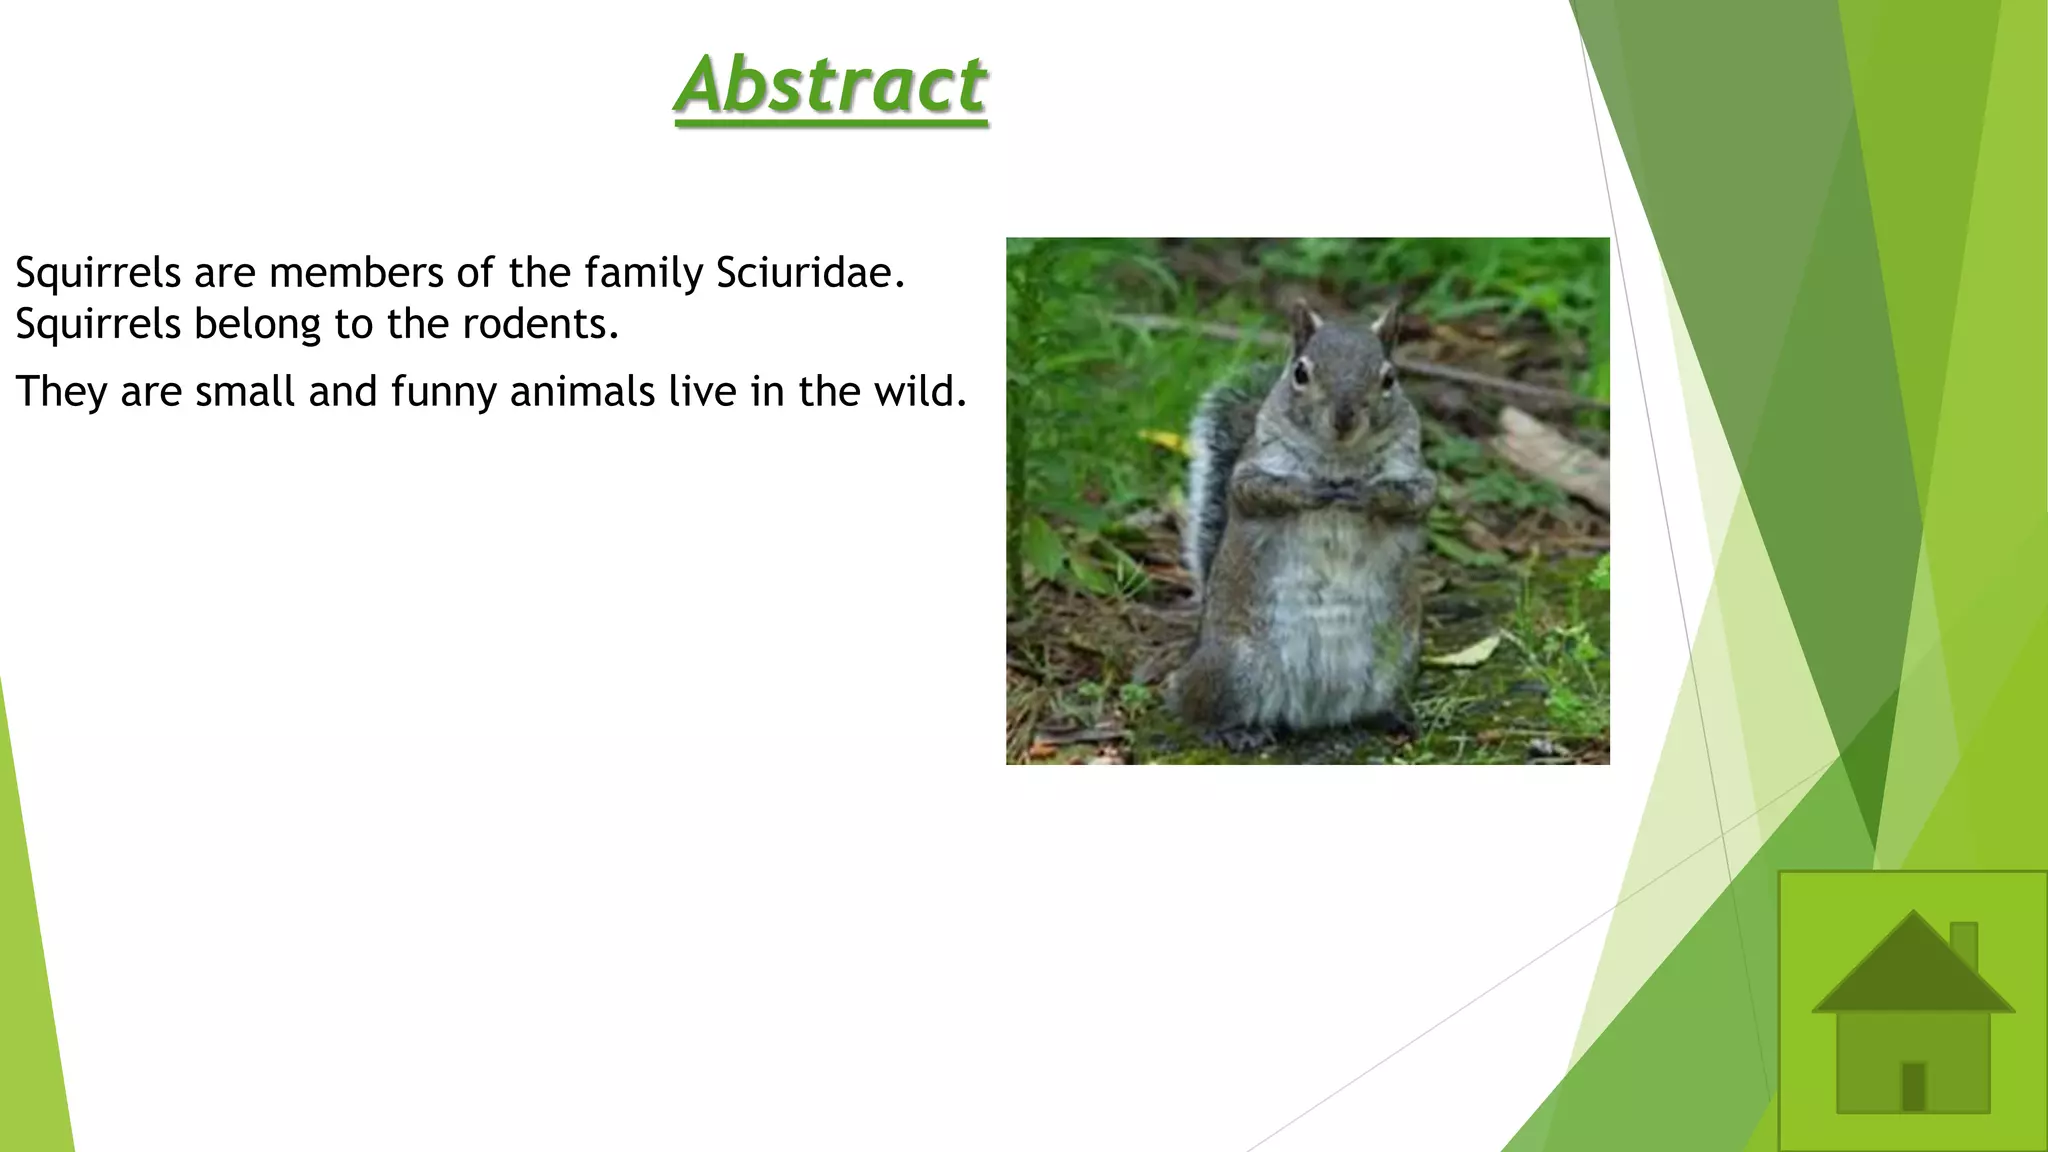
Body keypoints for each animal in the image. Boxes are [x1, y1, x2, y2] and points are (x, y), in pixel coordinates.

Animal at [1166, 301, 1438, 747]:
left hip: (1394, 663)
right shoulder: (1253, 467)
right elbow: (1254, 489)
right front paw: (1307, 490)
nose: (1344, 418)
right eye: (1300, 373)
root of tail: (1310, 714)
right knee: (1193, 707)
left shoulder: (1415, 471)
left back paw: (1392, 717)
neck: (1339, 458)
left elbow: (1417, 499)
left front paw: (1365, 495)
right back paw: (1233, 731)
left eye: (1389, 378)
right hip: (1233, 668)